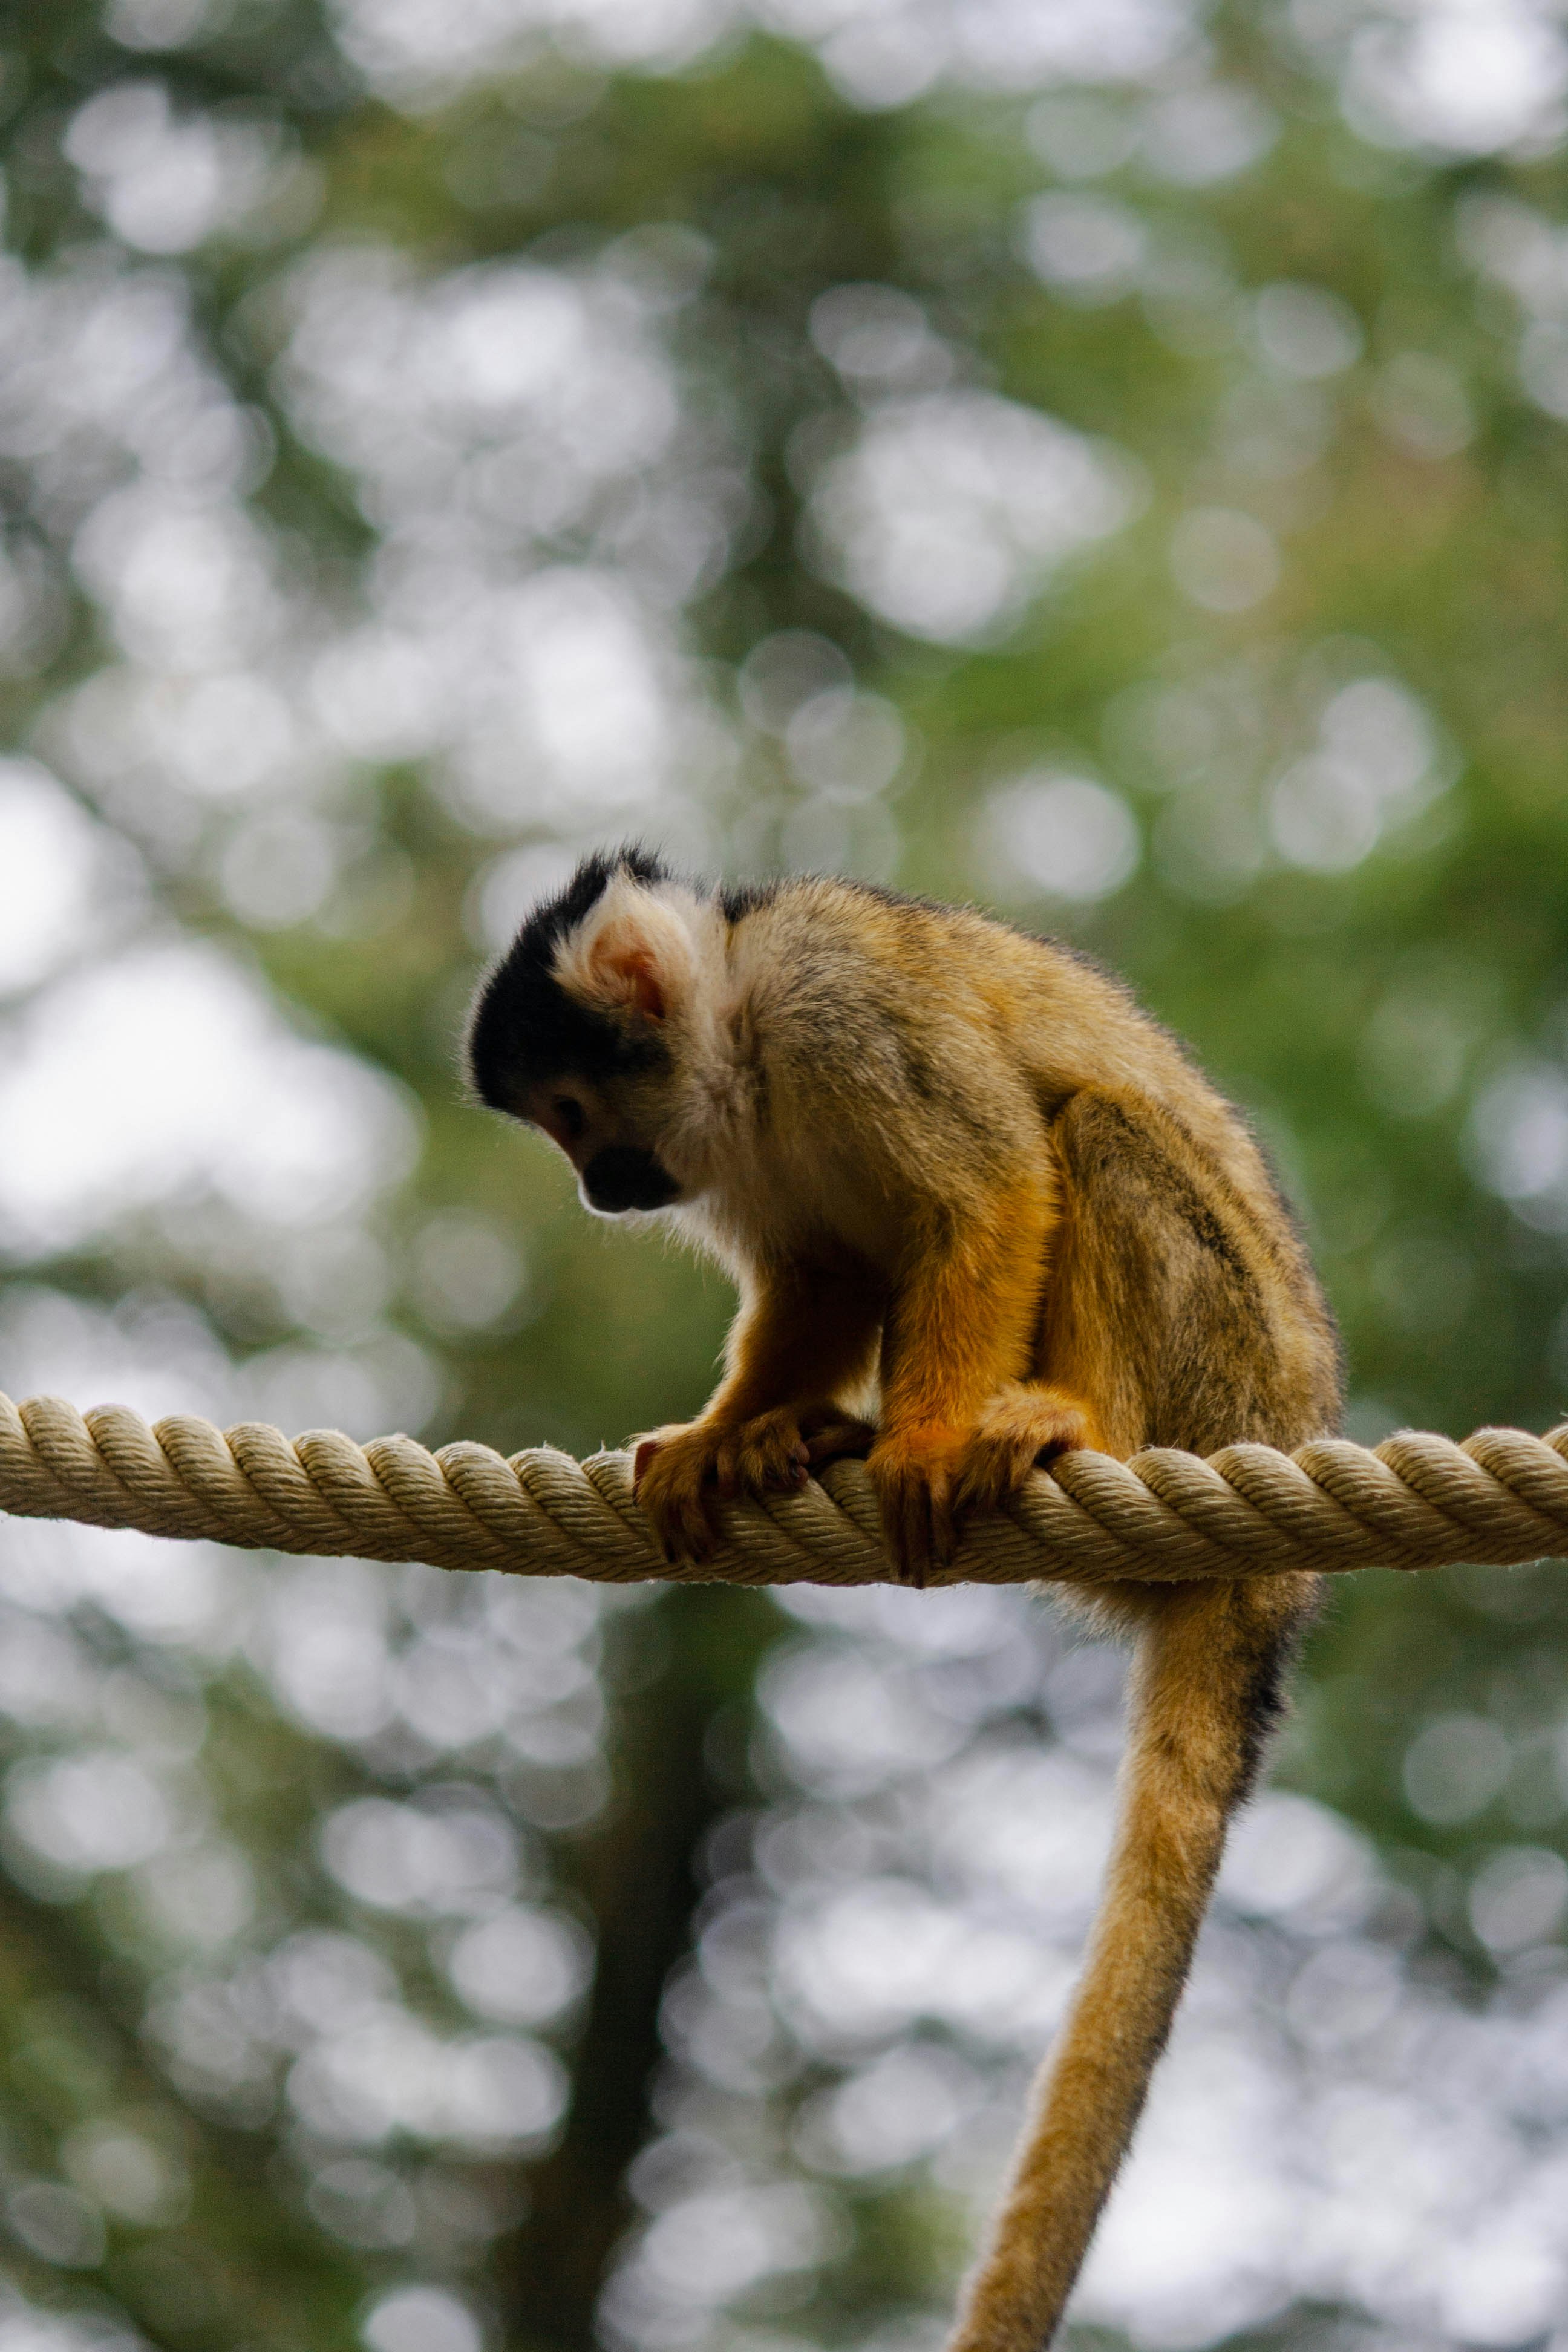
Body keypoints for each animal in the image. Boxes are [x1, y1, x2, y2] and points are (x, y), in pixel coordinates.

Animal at [465, 843, 1342, 2352]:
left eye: (573, 1117)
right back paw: (808, 1439)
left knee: (1094, 1132)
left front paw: (926, 1442)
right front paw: (728, 1436)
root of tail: (1270, 1572)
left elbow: (988, 1193)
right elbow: (822, 1274)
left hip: (1227, 1377)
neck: (744, 1042)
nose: (597, 1191)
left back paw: (1068, 1427)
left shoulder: (842, 1006)